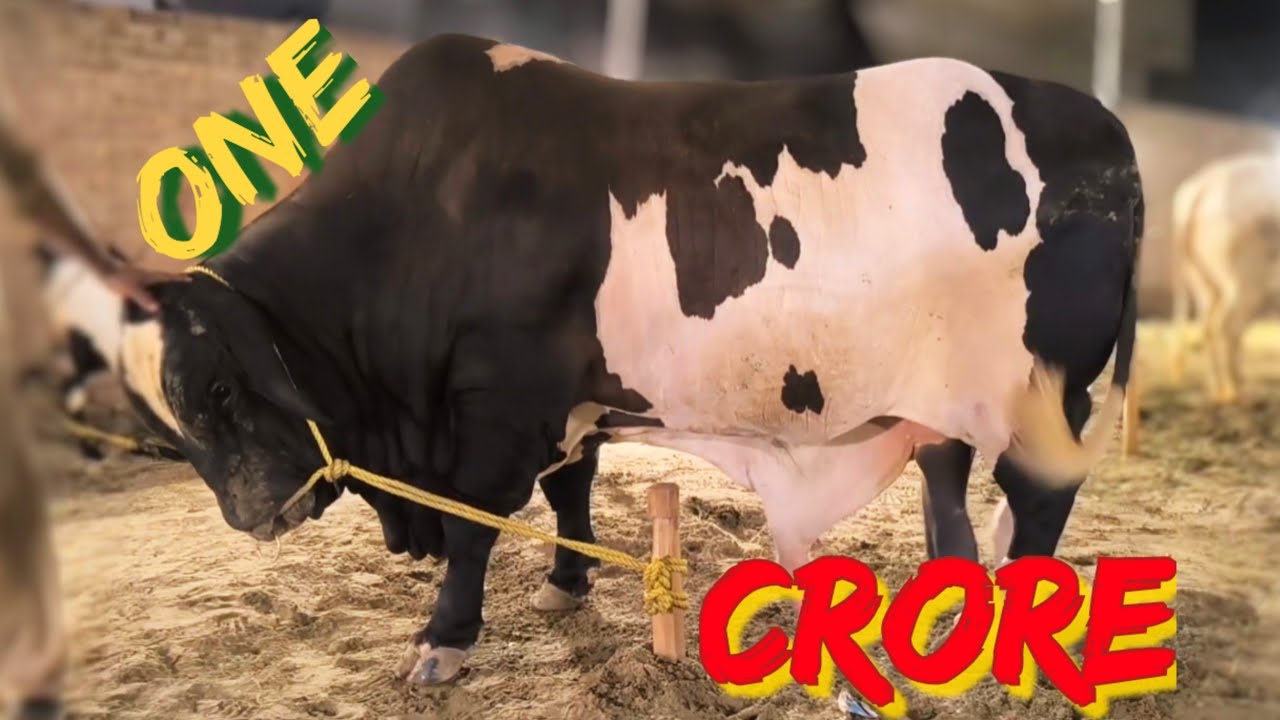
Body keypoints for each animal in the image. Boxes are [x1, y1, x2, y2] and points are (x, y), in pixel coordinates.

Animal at [118, 34, 1141, 686]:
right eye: (168, 415)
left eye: (215, 386)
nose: (253, 515)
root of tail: (1103, 124)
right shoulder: (569, 402)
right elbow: (572, 485)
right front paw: (566, 584)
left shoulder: (497, 402)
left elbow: (475, 529)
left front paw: (444, 640)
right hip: (946, 400)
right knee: (948, 492)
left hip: (1042, 400)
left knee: (1036, 507)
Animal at [1168, 153, 1280, 403]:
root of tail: (1203, 185)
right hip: (1244, 276)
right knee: (1227, 327)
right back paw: (1241, 391)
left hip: (1201, 278)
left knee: (1208, 324)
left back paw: (1218, 390)